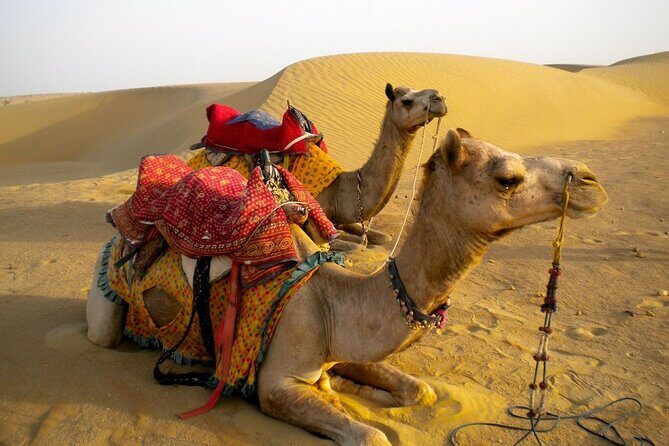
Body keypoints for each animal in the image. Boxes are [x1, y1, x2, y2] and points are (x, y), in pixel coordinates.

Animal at [86, 129, 608, 445]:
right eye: (507, 177)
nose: (590, 180)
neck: (332, 297)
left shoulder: (345, 344)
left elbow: (420, 390)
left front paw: (348, 387)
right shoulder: (275, 383)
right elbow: (371, 435)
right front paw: (344, 399)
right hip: (106, 301)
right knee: (105, 333)